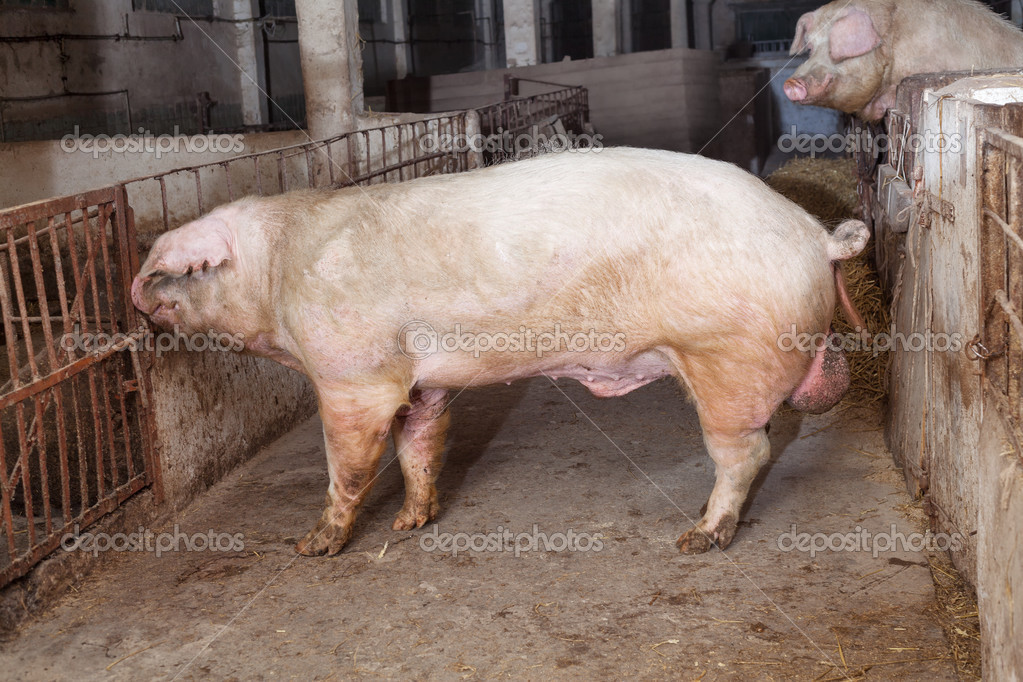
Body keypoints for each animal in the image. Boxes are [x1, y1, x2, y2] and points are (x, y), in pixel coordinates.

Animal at [130, 148, 870, 557]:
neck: (276, 272)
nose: (135, 297)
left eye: (170, 271)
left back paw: (697, 539)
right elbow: (420, 443)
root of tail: (818, 235)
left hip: (725, 361)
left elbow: (349, 462)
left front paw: (313, 547)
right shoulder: (421, 383)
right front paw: (410, 523)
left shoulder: (352, 376)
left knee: (746, 454)